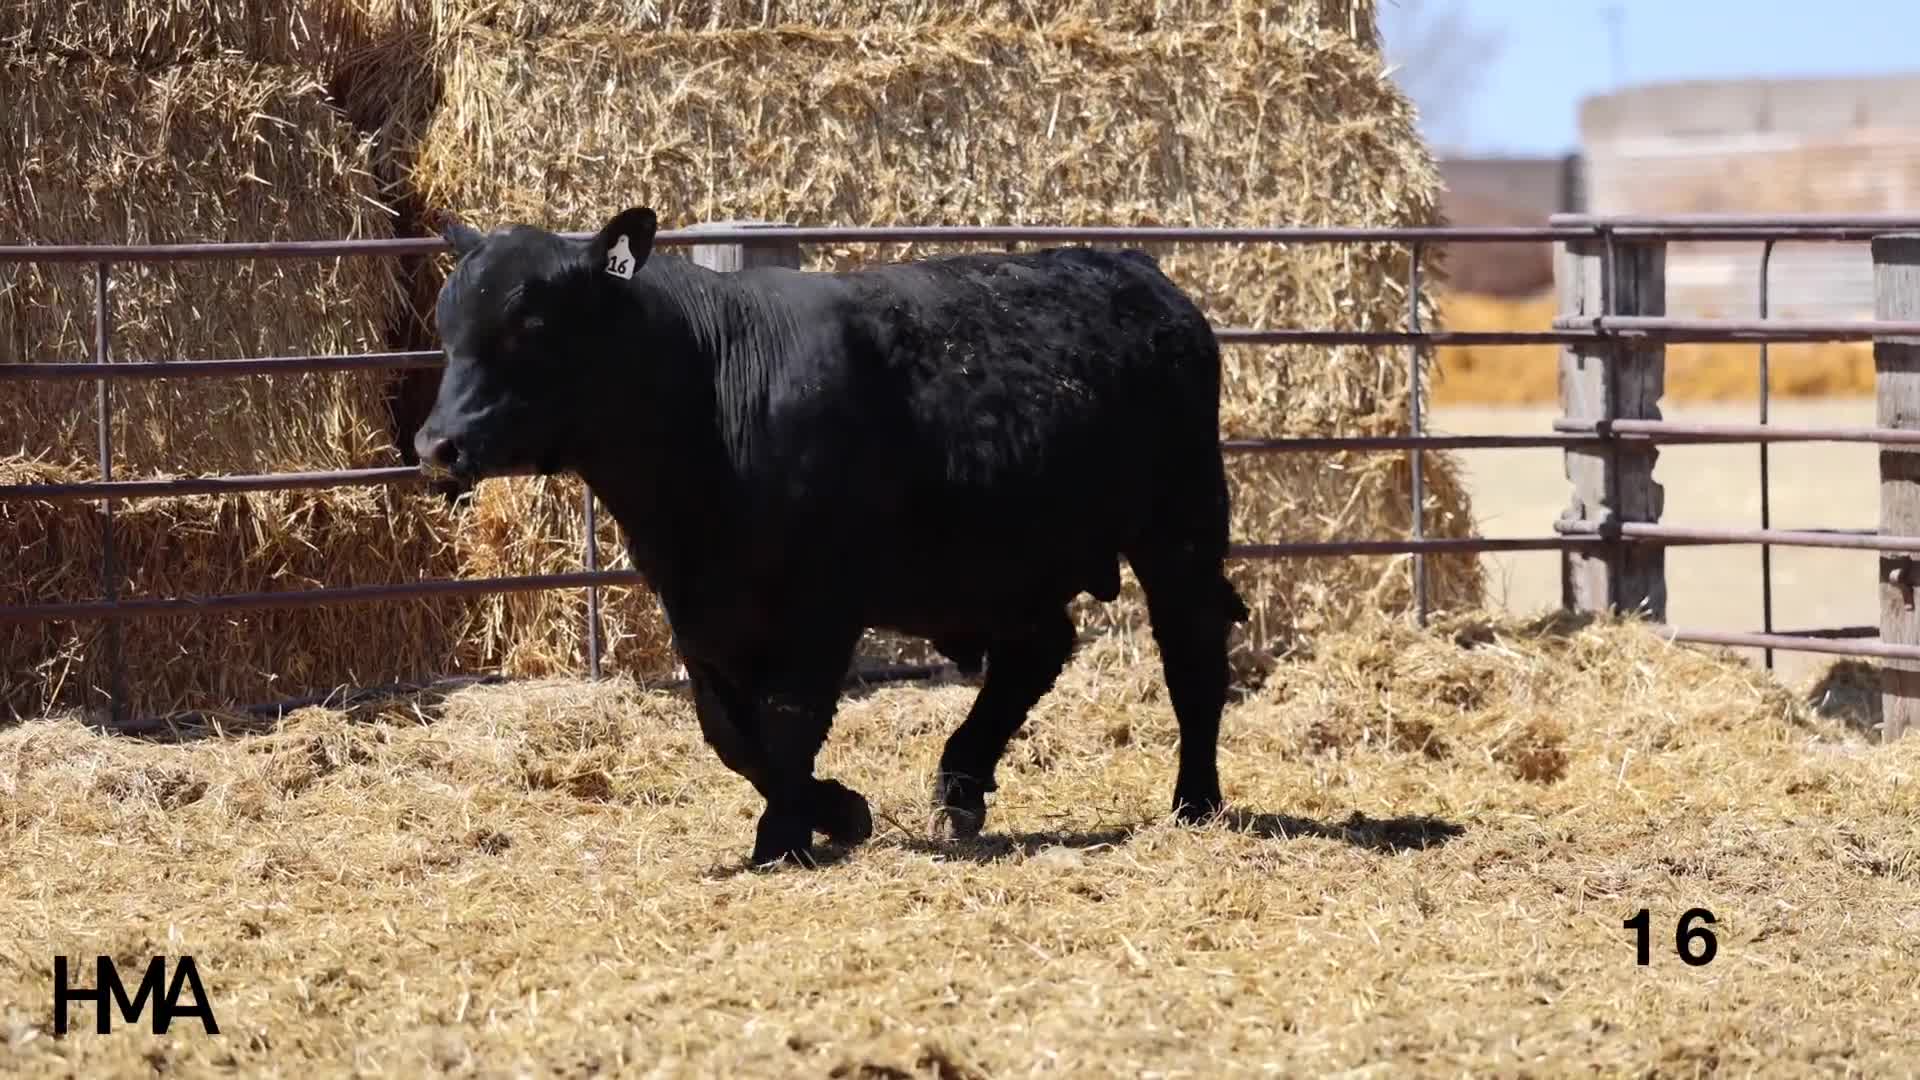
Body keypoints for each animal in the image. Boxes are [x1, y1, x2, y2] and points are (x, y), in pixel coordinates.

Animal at [413, 207, 1250, 868]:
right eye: (447, 329)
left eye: (530, 325)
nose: (436, 445)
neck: (709, 394)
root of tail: (1139, 270)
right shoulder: (699, 614)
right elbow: (731, 733)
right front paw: (837, 810)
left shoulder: (818, 609)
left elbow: (787, 723)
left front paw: (786, 836)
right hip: (1008, 561)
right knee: (1035, 653)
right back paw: (961, 782)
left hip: (1180, 529)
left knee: (1193, 658)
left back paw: (1195, 800)